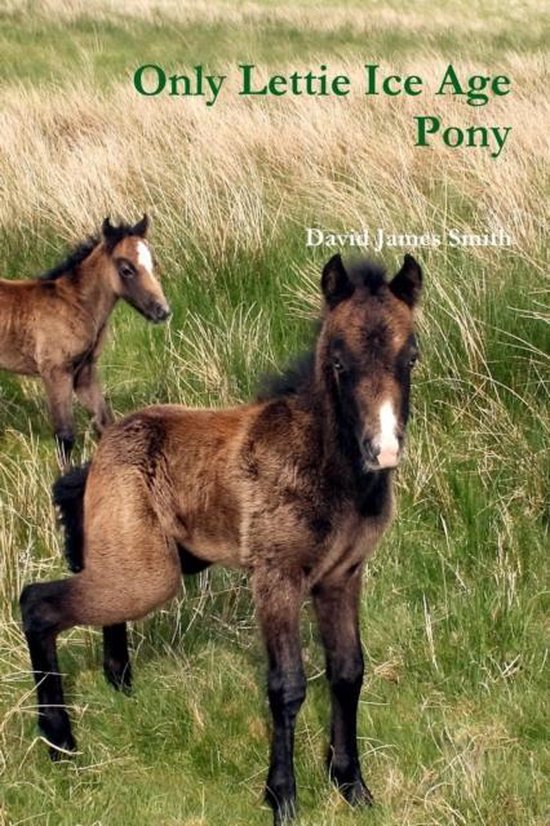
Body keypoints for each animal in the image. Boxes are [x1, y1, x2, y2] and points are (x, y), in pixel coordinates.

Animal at [0, 215, 170, 461]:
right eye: (126, 269)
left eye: (153, 264)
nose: (162, 311)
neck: (75, 304)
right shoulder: (56, 372)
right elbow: (65, 436)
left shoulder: (85, 372)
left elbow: (105, 423)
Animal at [20, 252, 423, 824]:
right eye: (339, 364)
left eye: (409, 359)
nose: (383, 449)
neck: (325, 462)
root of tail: (102, 451)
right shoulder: (276, 577)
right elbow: (287, 686)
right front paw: (282, 796)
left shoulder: (342, 576)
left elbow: (347, 672)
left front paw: (351, 785)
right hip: (149, 574)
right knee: (38, 604)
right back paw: (59, 740)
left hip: (157, 561)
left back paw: (118, 684)